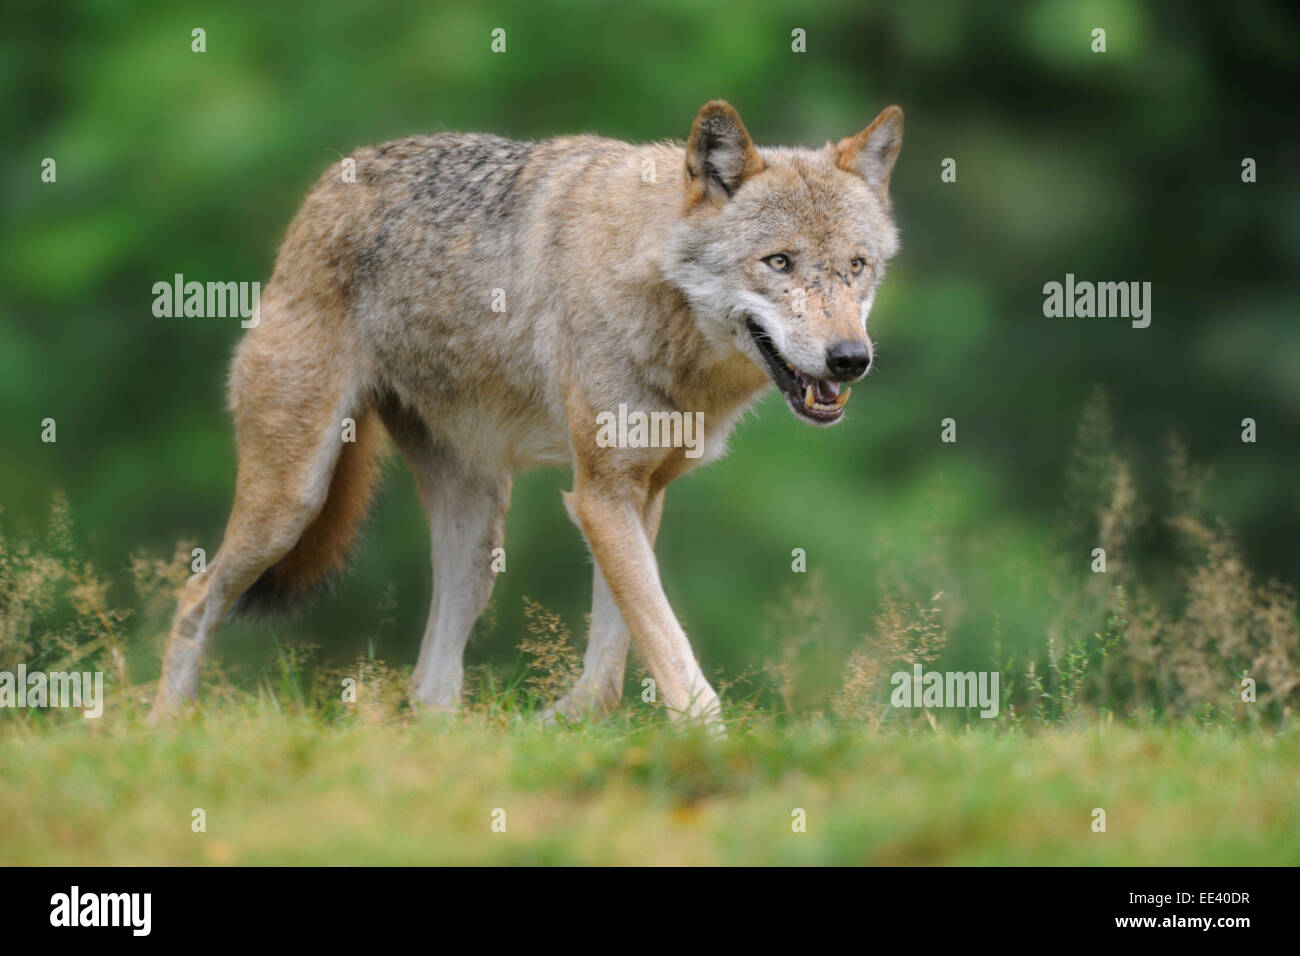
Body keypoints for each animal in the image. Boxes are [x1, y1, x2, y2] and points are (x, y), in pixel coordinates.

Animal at [154, 100, 903, 727]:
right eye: (779, 262)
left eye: (856, 267)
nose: (850, 359)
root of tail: (330, 181)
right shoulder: (600, 495)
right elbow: (670, 653)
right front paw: (714, 747)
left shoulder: (640, 494)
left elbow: (612, 663)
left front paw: (559, 723)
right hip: (293, 500)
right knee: (194, 597)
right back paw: (164, 732)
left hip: (479, 535)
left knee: (431, 682)